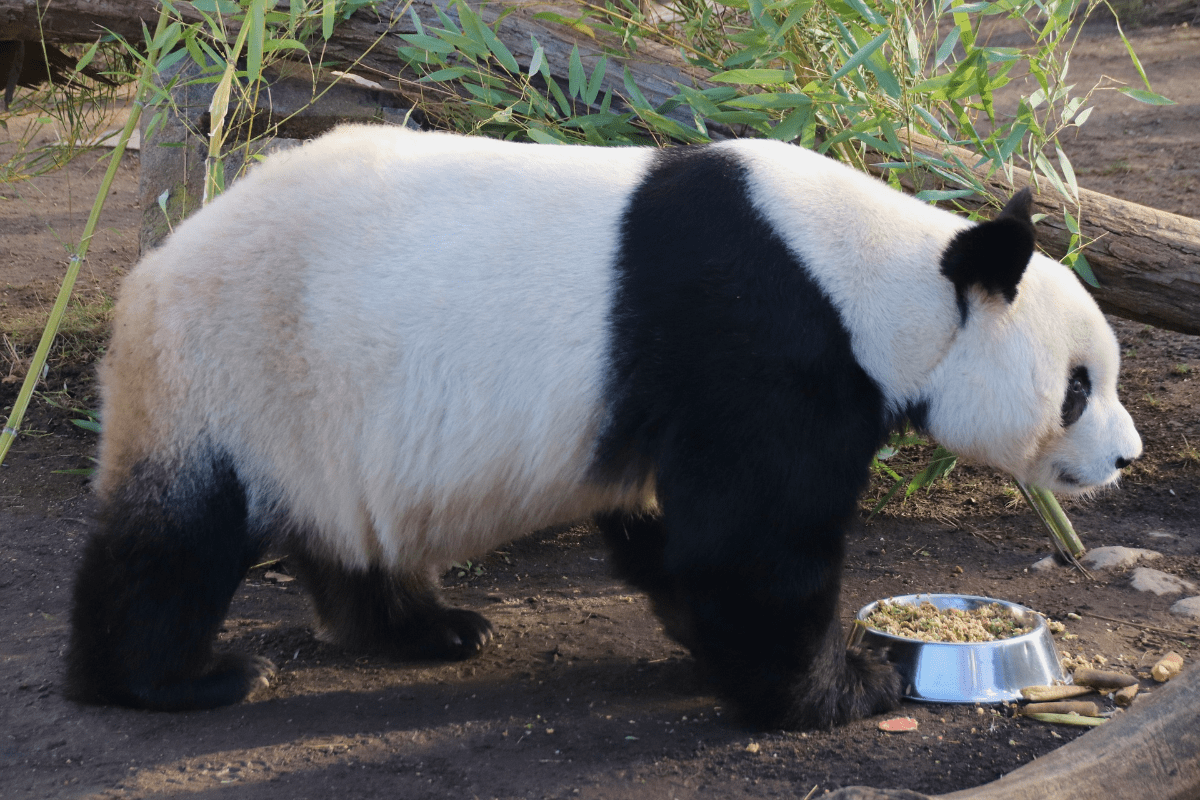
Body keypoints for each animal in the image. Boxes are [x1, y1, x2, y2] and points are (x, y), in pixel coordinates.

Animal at [66, 125, 1142, 729]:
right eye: (1078, 387)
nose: (1125, 456)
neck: (888, 276)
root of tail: (151, 272)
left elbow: (672, 532)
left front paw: (719, 653)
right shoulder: (763, 337)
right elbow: (752, 542)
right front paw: (842, 689)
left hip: (324, 415)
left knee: (352, 532)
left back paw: (432, 628)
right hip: (237, 368)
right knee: (175, 538)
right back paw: (166, 680)